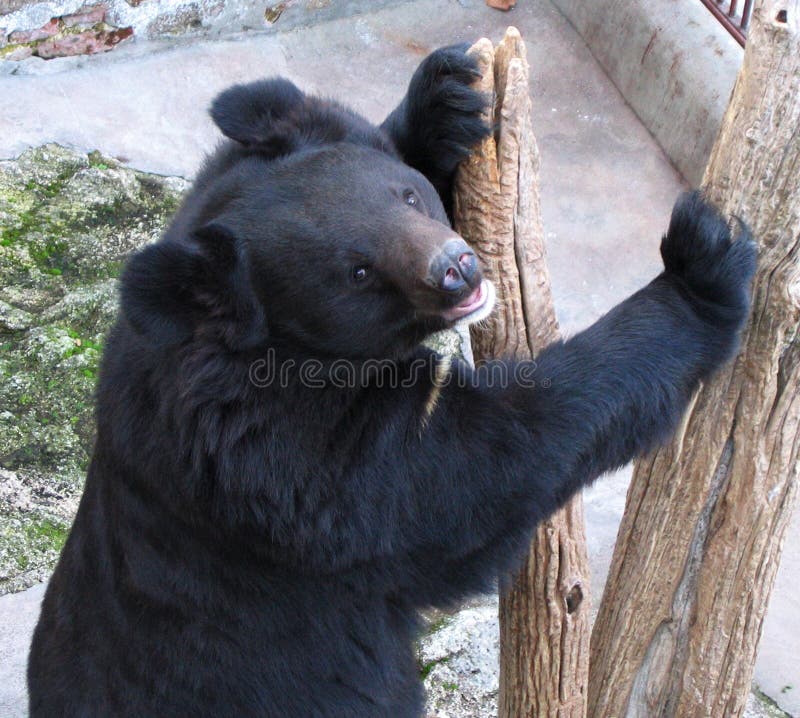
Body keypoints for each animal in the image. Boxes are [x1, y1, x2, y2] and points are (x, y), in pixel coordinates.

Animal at [27, 45, 756, 718]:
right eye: (357, 273)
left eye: (407, 195)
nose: (458, 269)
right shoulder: (287, 473)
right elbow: (477, 464)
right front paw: (703, 264)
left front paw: (447, 94)